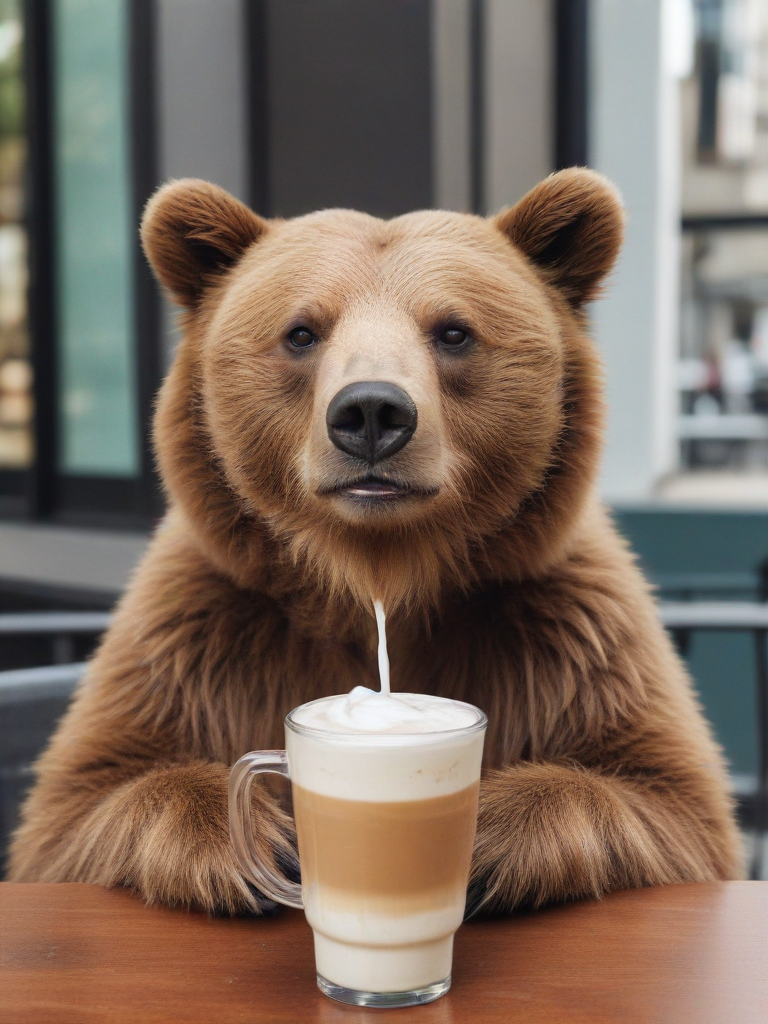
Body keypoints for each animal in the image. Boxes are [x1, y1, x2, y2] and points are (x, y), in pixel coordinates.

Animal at [8, 169, 742, 914]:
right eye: (302, 332)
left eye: (454, 331)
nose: (370, 411)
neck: (376, 576)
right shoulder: (203, 635)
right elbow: (83, 806)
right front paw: (260, 843)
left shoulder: (563, 633)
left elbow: (668, 804)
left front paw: (485, 836)